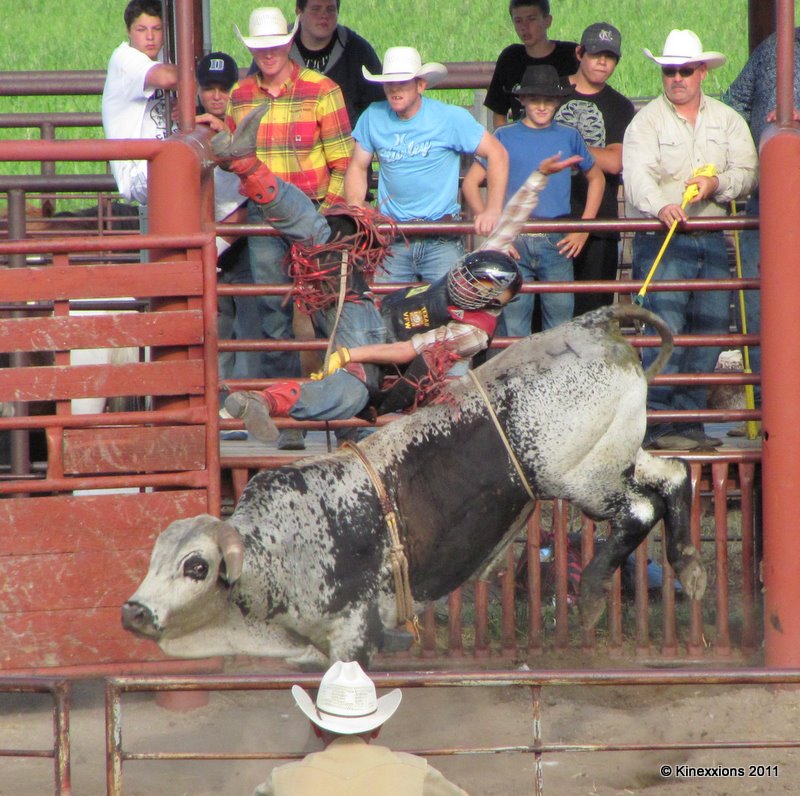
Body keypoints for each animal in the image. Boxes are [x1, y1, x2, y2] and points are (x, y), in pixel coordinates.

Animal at [122, 304, 706, 667]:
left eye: (195, 567)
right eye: (153, 560)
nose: (134, 609)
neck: (275, 546)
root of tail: (591, 323)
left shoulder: (353, 634)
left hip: (579, 477)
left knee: (637, 511)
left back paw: (591, 595)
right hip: (616, 454)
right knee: (674, 476)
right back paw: (690, 567)